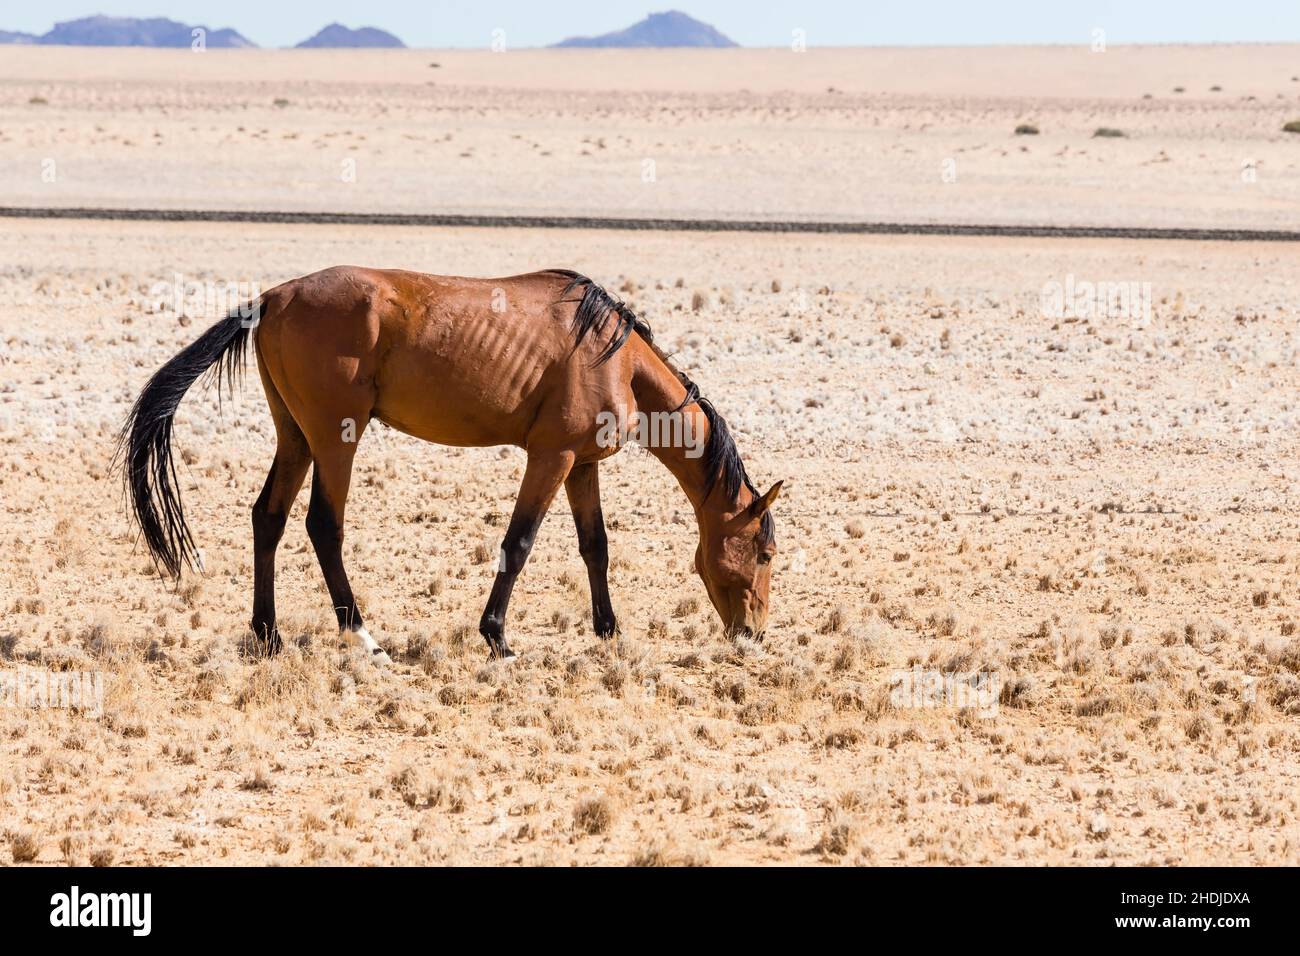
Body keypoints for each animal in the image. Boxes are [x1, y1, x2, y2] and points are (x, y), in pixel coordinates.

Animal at [117, 267, 782, 661]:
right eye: (766, 552)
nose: (753, 633)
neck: (613, 355)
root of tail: (272, 298)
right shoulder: (552, 457)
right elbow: (519, 542)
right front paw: (497, 638)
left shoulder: (582, 465)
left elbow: (595, 546)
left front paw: (609, 632)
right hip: (335, 439)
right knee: (322, 526)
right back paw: (363, 637)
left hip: (296, 437)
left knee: (268, 518)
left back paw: (269, 635)